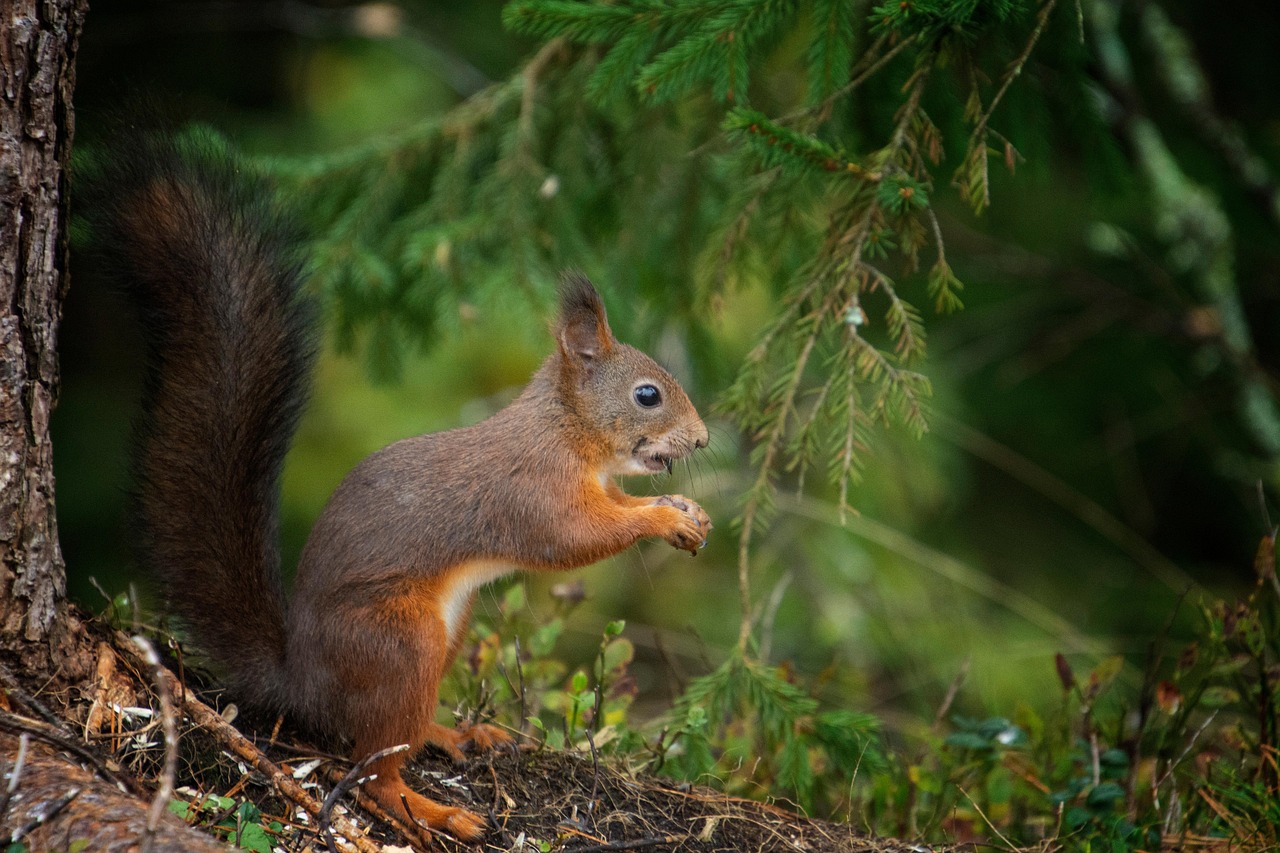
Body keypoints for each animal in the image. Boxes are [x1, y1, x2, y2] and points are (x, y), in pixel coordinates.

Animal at [86, 131, 711, 841]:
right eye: (647, 395)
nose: (702, 440)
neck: (567, 432)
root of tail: (302, 685)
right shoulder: (533, 490)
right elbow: (574, 538)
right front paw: (665, 518)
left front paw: (687, 509)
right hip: (400, 645)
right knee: (374, 775)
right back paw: (432, 811)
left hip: (446, 631)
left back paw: (452, 733)